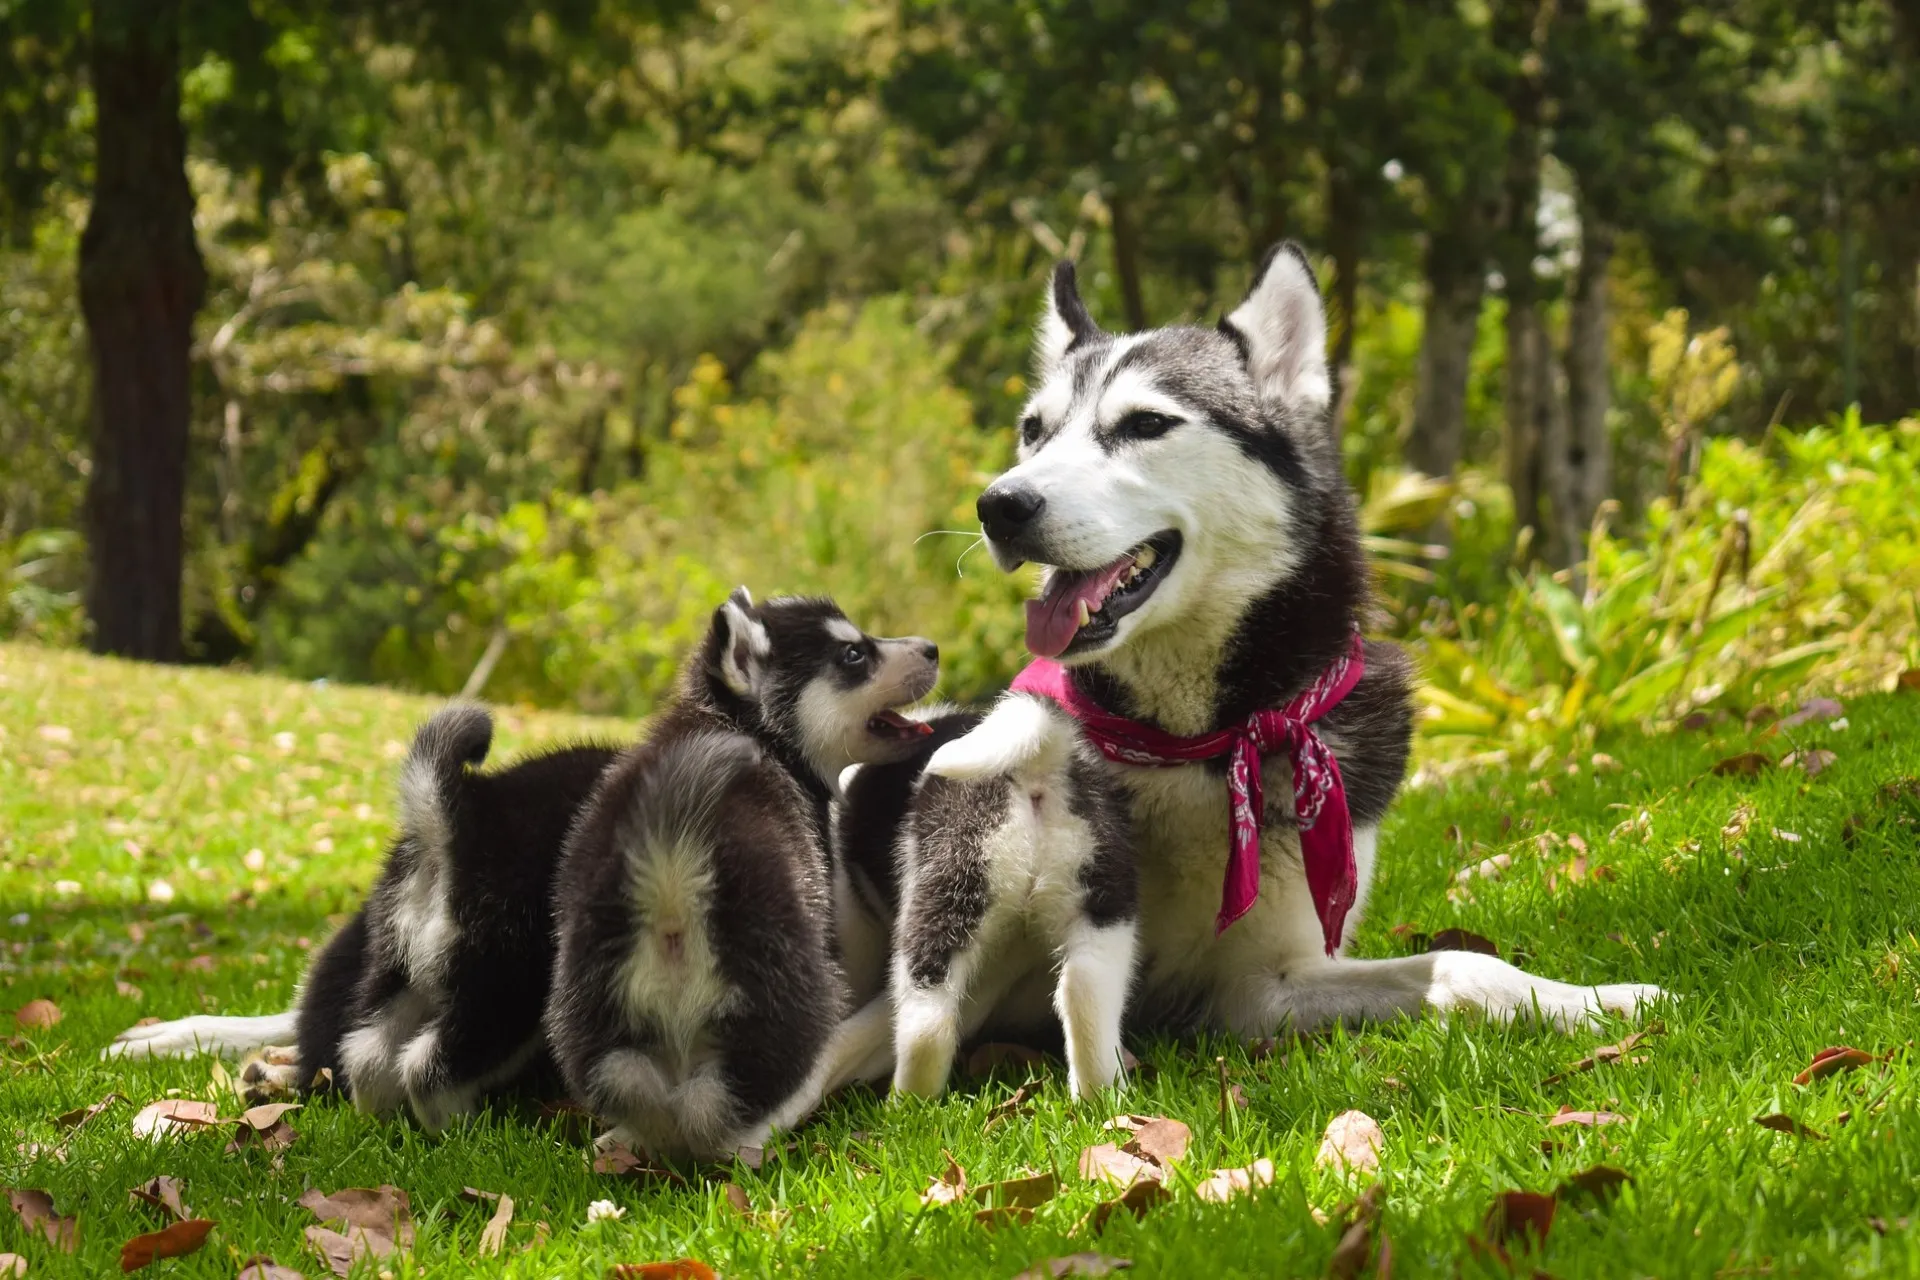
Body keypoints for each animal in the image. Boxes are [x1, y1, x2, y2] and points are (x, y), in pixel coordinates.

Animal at [545, 591, 940, 1159]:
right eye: (853, 655)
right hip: (787, 996)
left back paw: (626, 1138)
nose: (932, 649)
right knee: (720, 1101)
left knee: (634, 1084)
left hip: (591, 1013)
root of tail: (673, 872)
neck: (740, 724)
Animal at [975, 247, 1666, 1043]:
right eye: (1034, 431)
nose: (999, 506)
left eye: (1146, 423)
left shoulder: (1262, 984)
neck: (1205, 742)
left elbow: (1464, 964)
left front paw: (1597, 999)